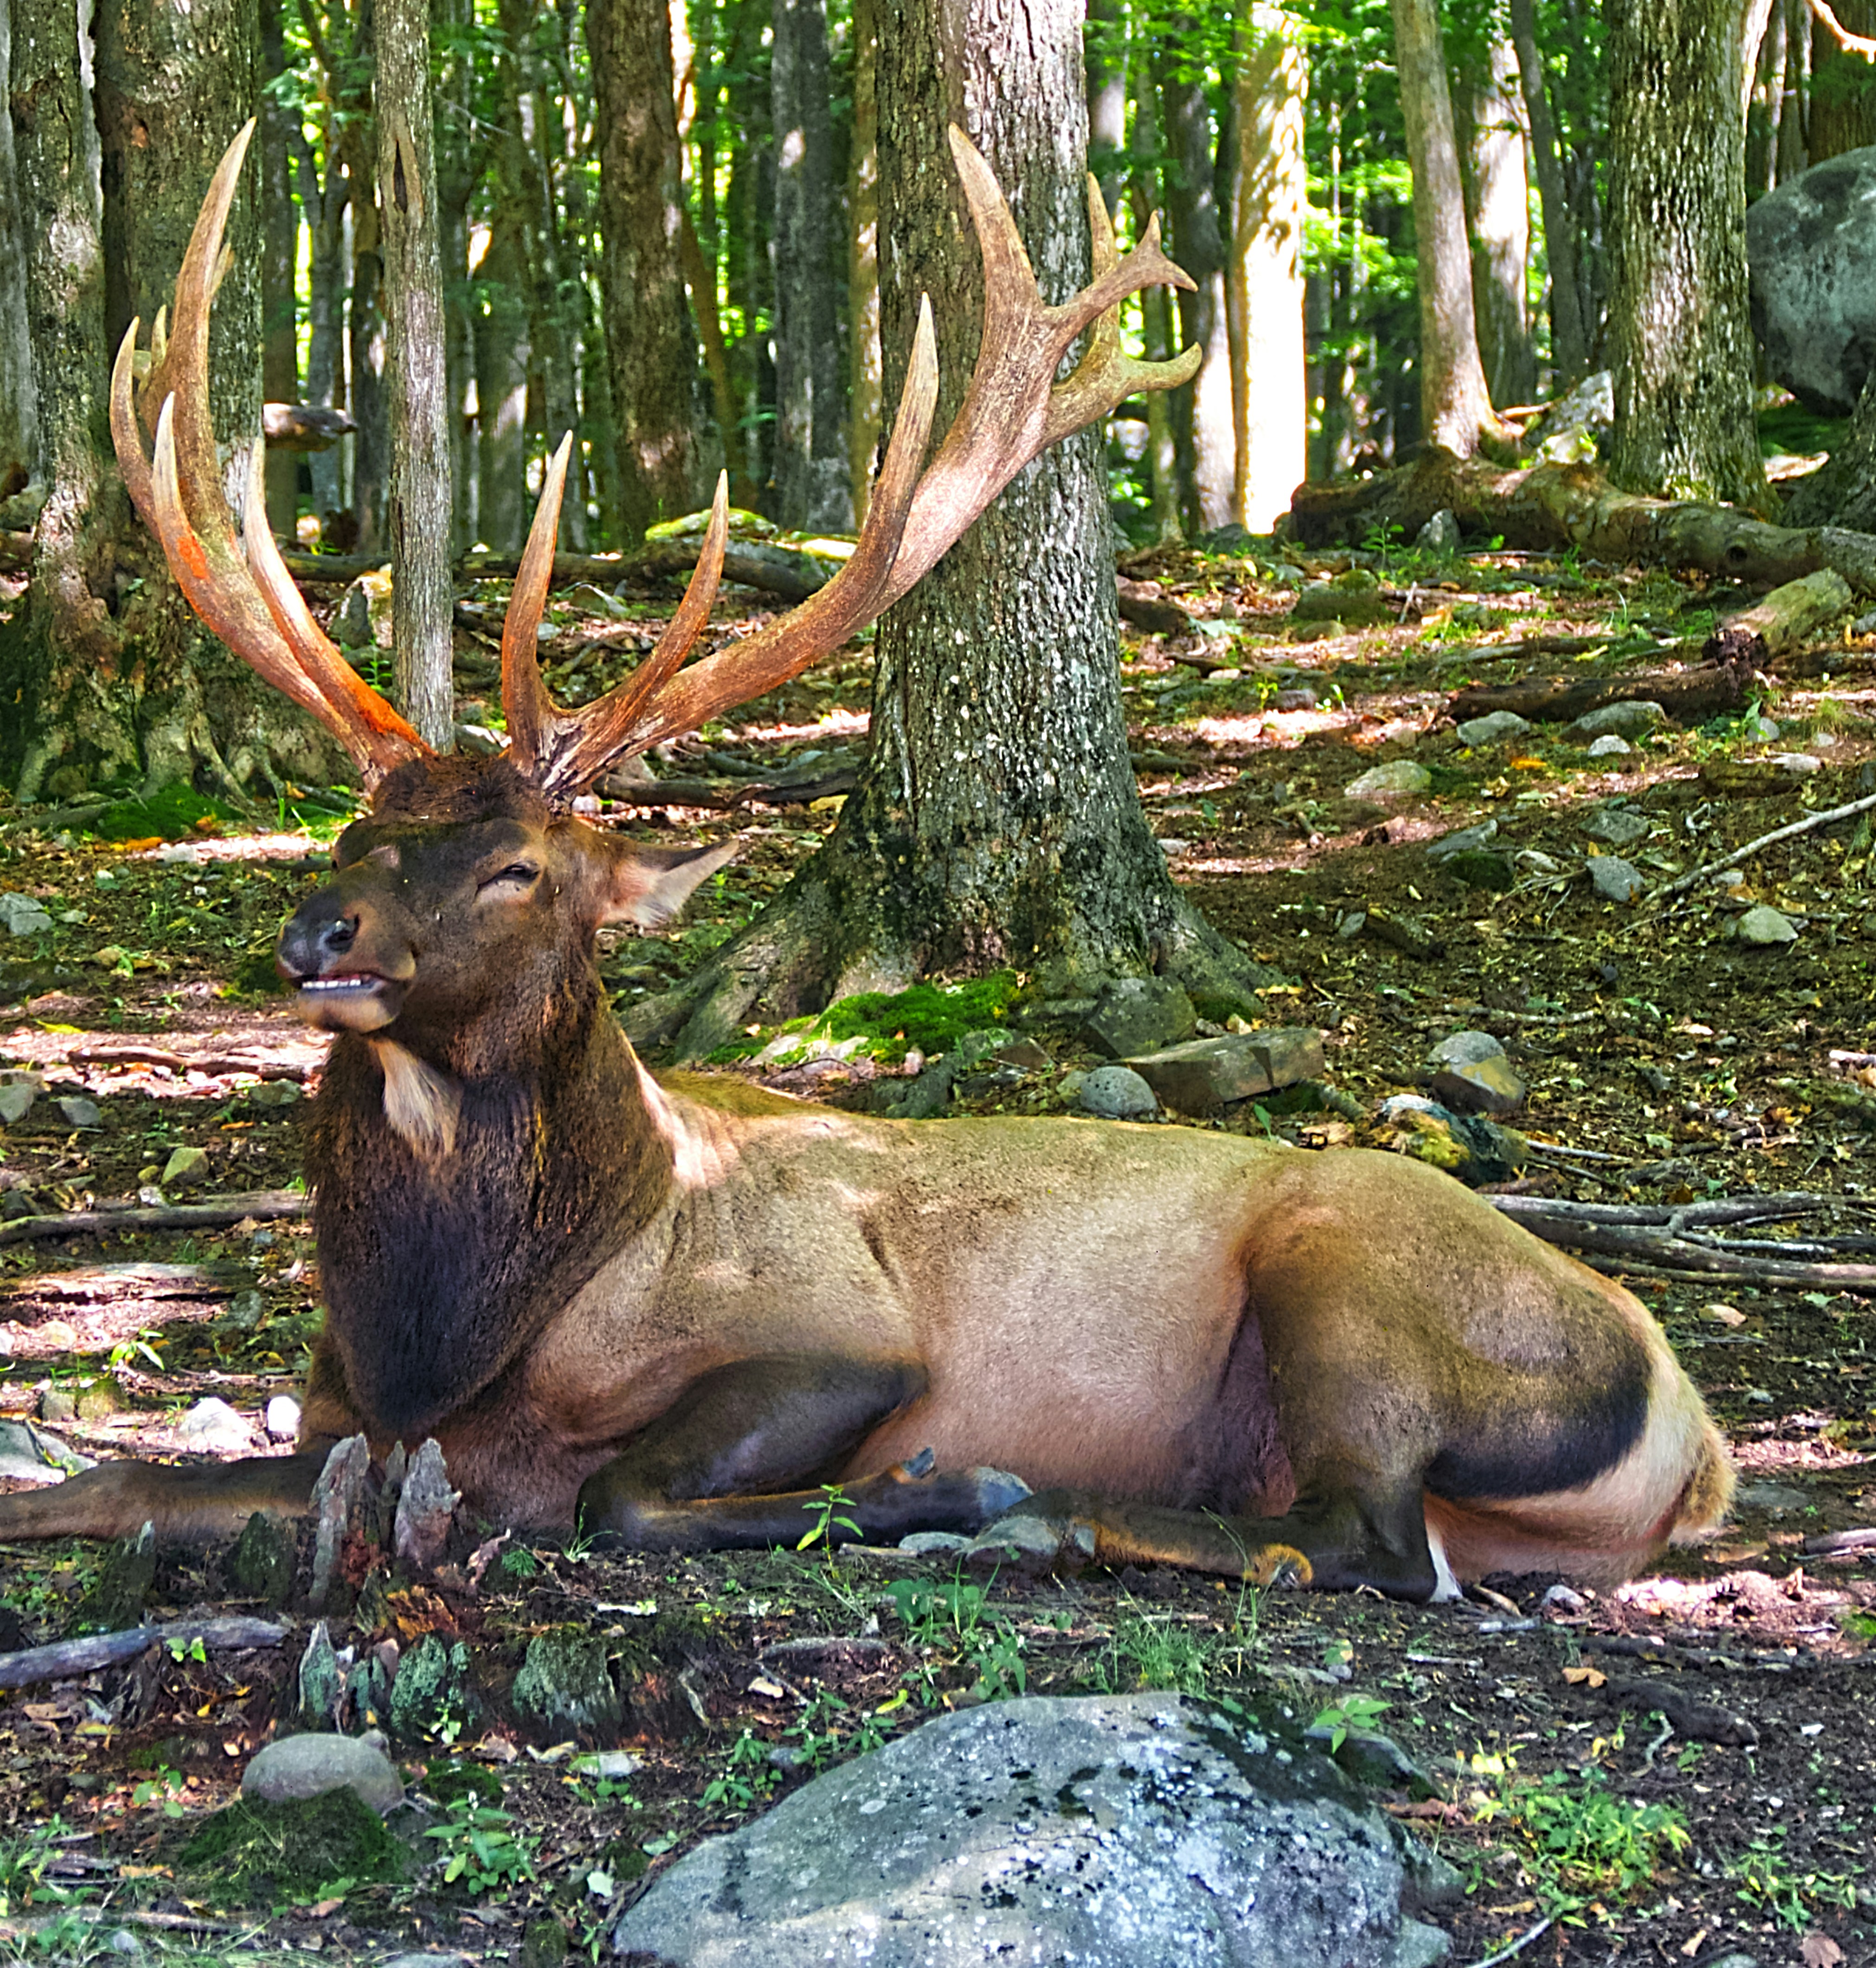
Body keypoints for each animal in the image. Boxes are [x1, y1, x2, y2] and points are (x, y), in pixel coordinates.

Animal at [0, 124, 1733, 1601]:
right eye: (359, 832)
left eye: (519, 870)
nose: (321, 933)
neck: (449, 1344)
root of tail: (1695, 1431)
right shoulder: (333, 1419)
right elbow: (109, 1483)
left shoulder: (845, 1327)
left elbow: (623, 1491)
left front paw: (938, 1487)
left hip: (1352, 1273)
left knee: (1360, 1534)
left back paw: (1047, 1512)